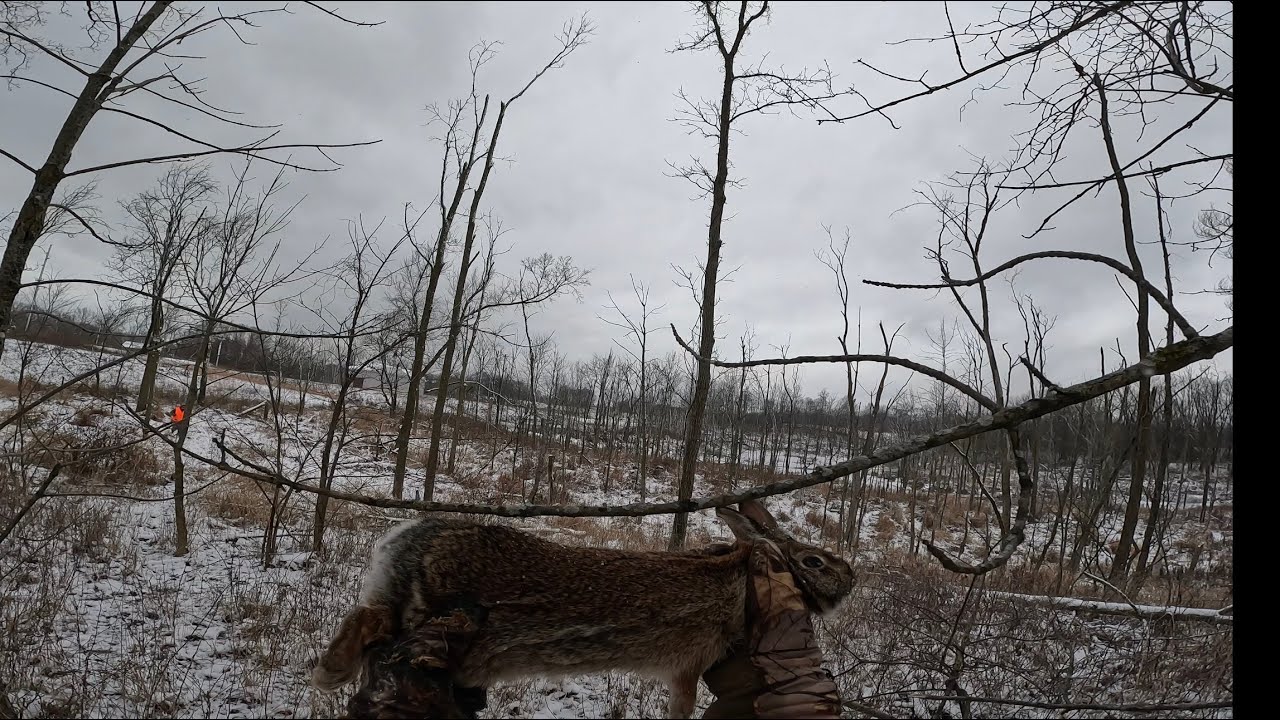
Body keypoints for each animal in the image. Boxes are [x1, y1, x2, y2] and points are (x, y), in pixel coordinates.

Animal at [311, 500, 855, 718]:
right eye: (814, 562)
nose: (851, 580)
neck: (743, 570)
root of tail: (410, 542)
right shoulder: (690, 662)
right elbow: (681, 702)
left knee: (369, 620)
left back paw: (328, 671)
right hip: (433, 607)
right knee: (376, 627)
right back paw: (330, 673)